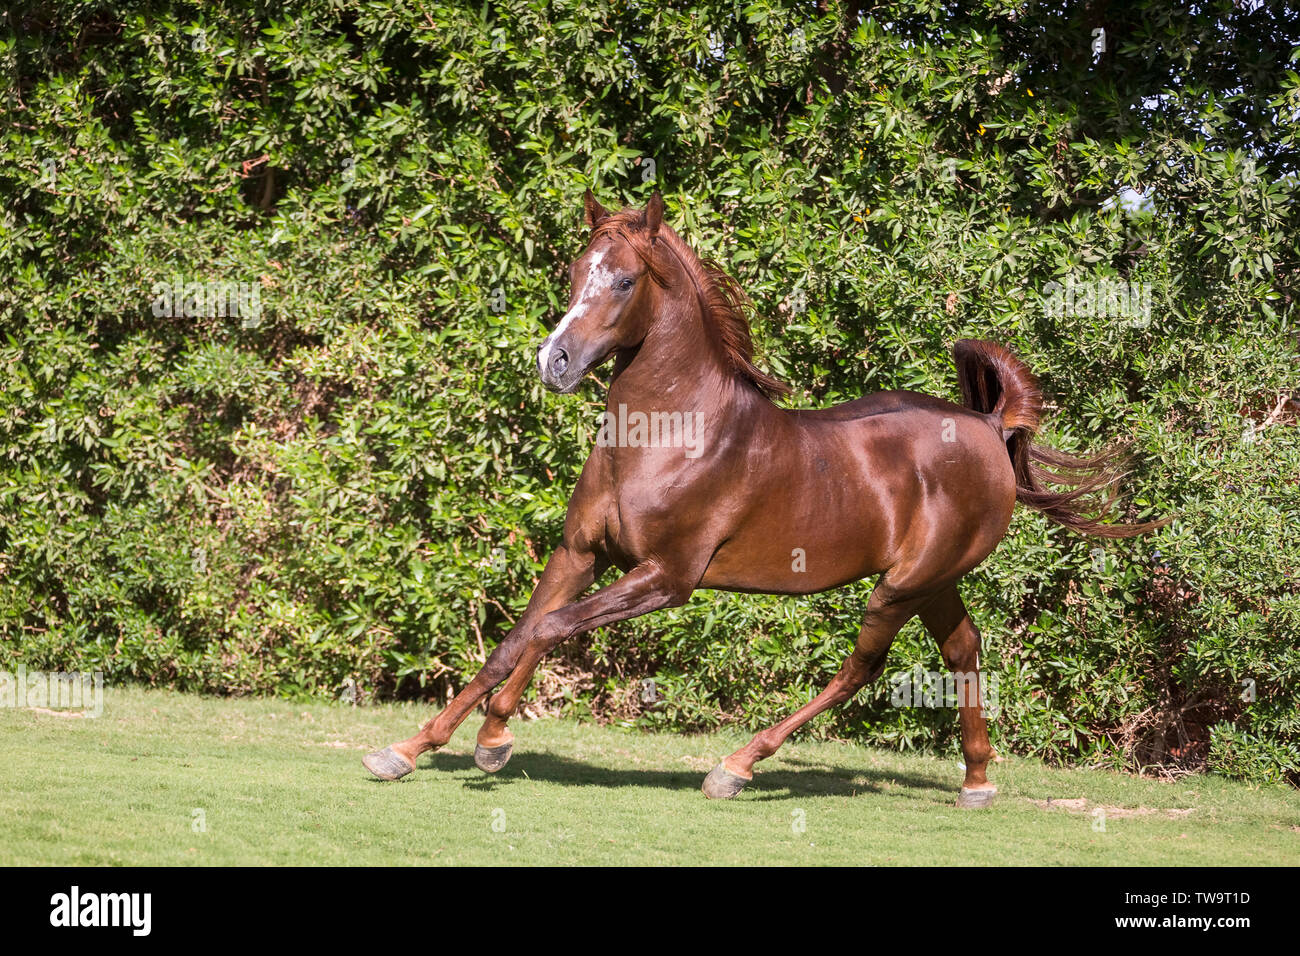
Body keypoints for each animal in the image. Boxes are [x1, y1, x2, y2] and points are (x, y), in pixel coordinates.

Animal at [363, 190, 1159, 806]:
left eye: (623, 281)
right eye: (573, 271)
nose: (553, 363)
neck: (666, 435)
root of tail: (990, 428)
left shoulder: (666, 578)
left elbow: (547, 631)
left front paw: (490, 738)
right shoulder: (581, 554)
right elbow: (519, 636)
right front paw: (412, 748)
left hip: (904, 585)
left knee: (861, 668)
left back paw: (735, 768)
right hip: (935, 583)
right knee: (962, 649)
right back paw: (976, 780)